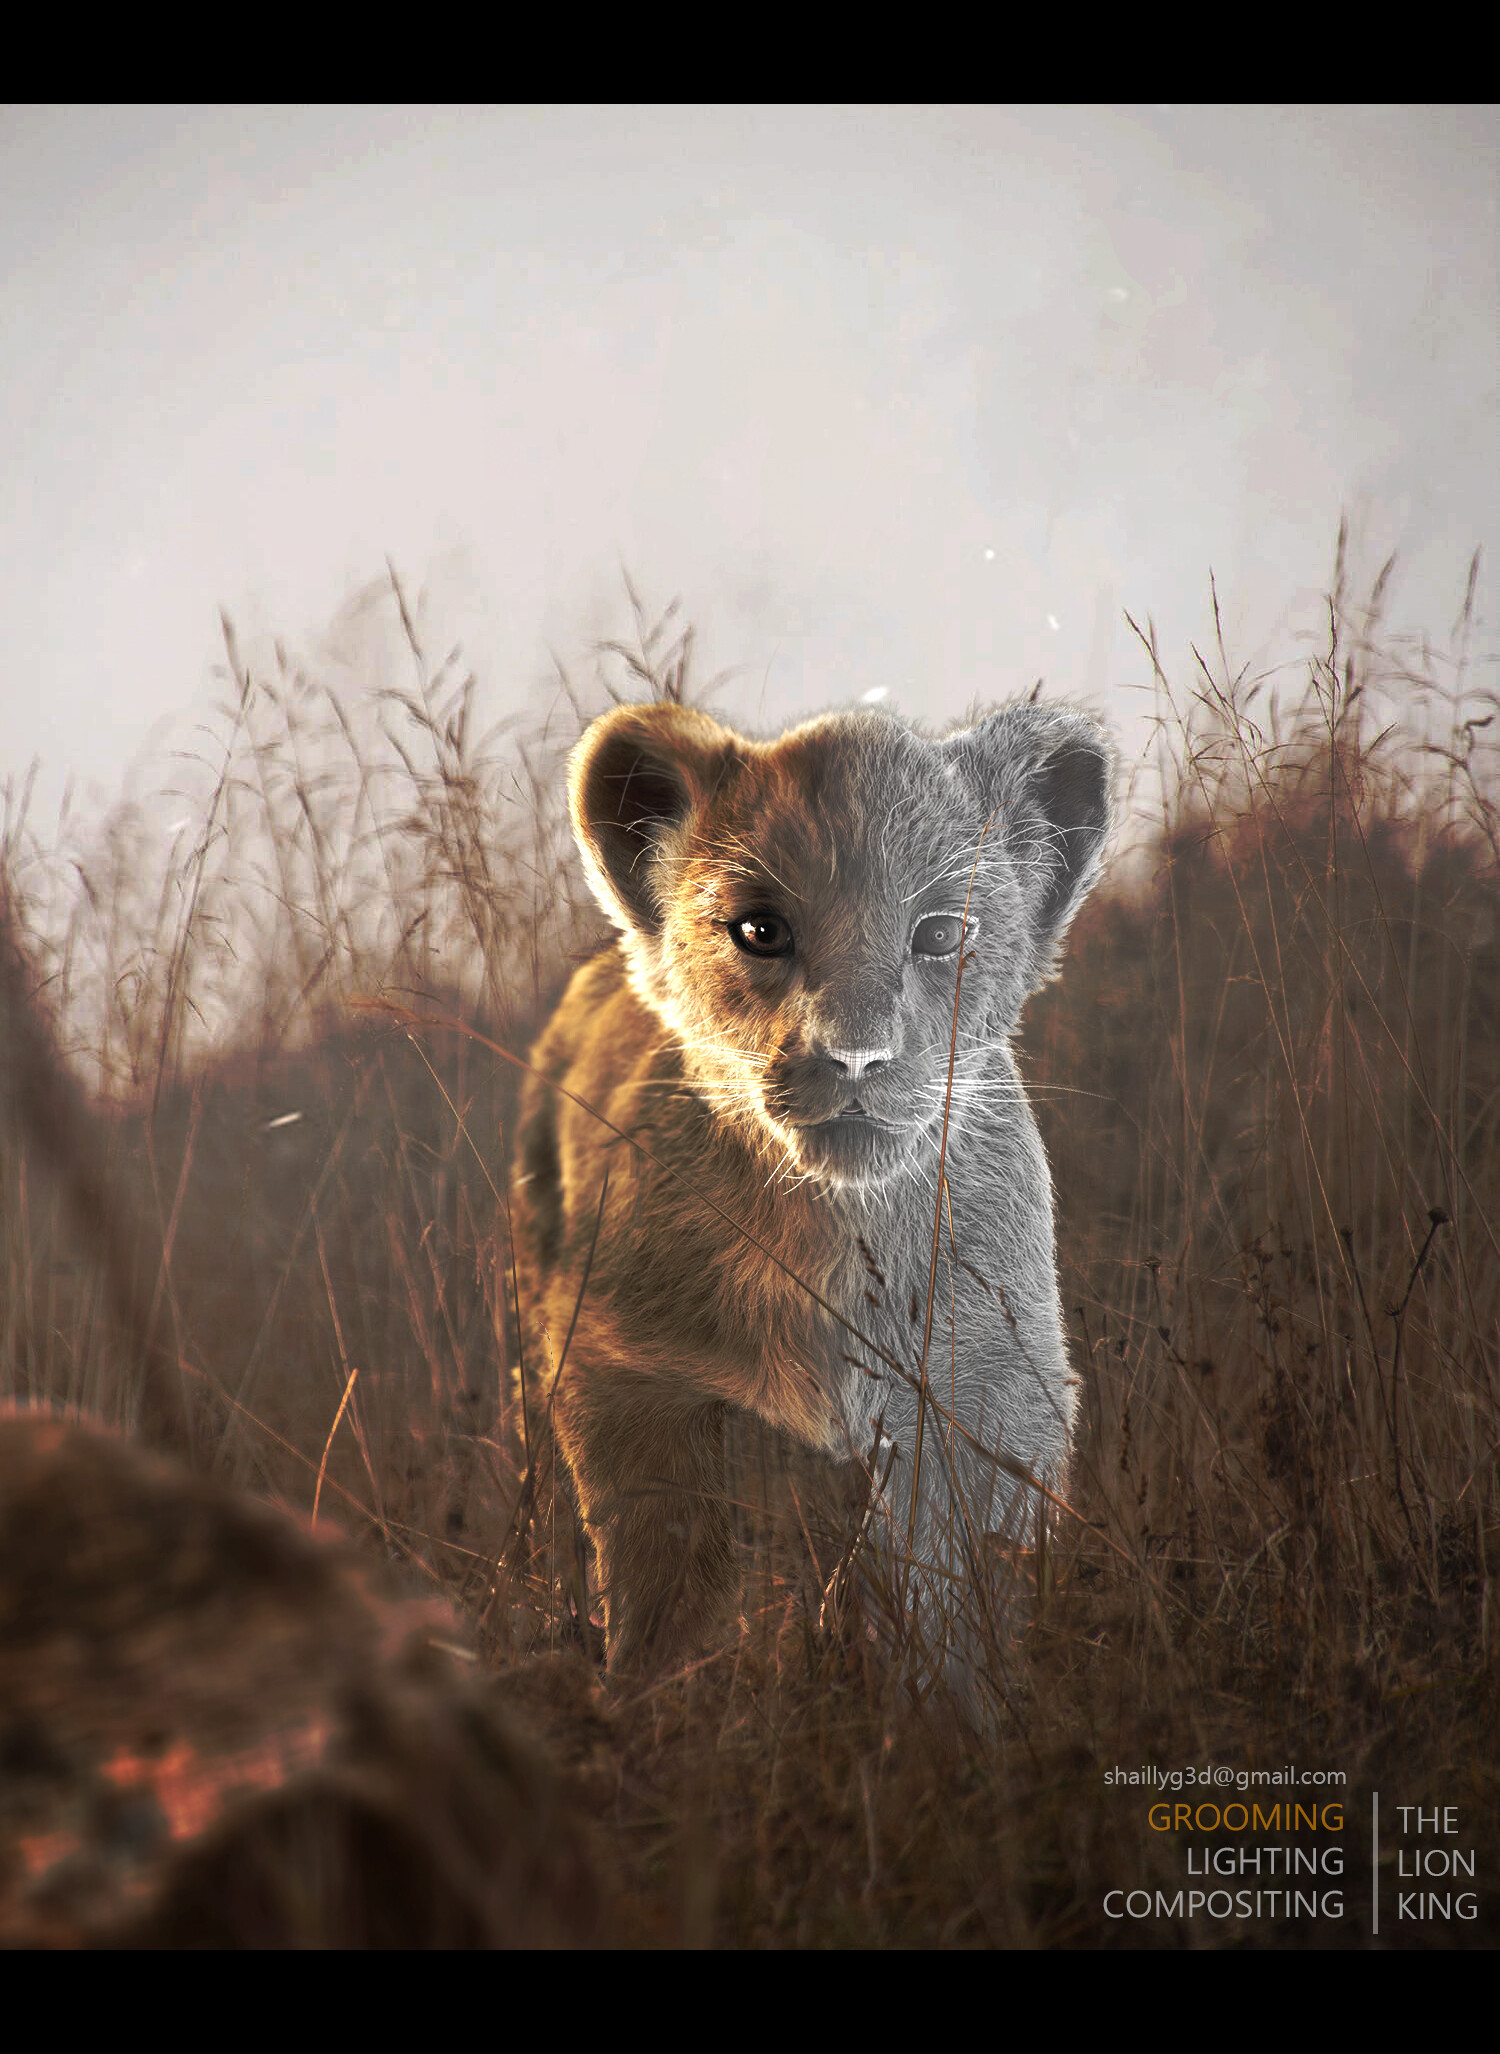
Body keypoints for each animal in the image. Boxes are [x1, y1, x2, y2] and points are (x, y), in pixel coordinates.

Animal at [509, 694, 1112, 1708]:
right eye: (760, 931)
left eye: (940, 935)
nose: (856, 1057)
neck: (833, 1227)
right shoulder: (617, 1366)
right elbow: (663, 1560)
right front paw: (653, 1700)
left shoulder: (993, 1382)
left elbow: (952, 1569)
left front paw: (957, 1708)